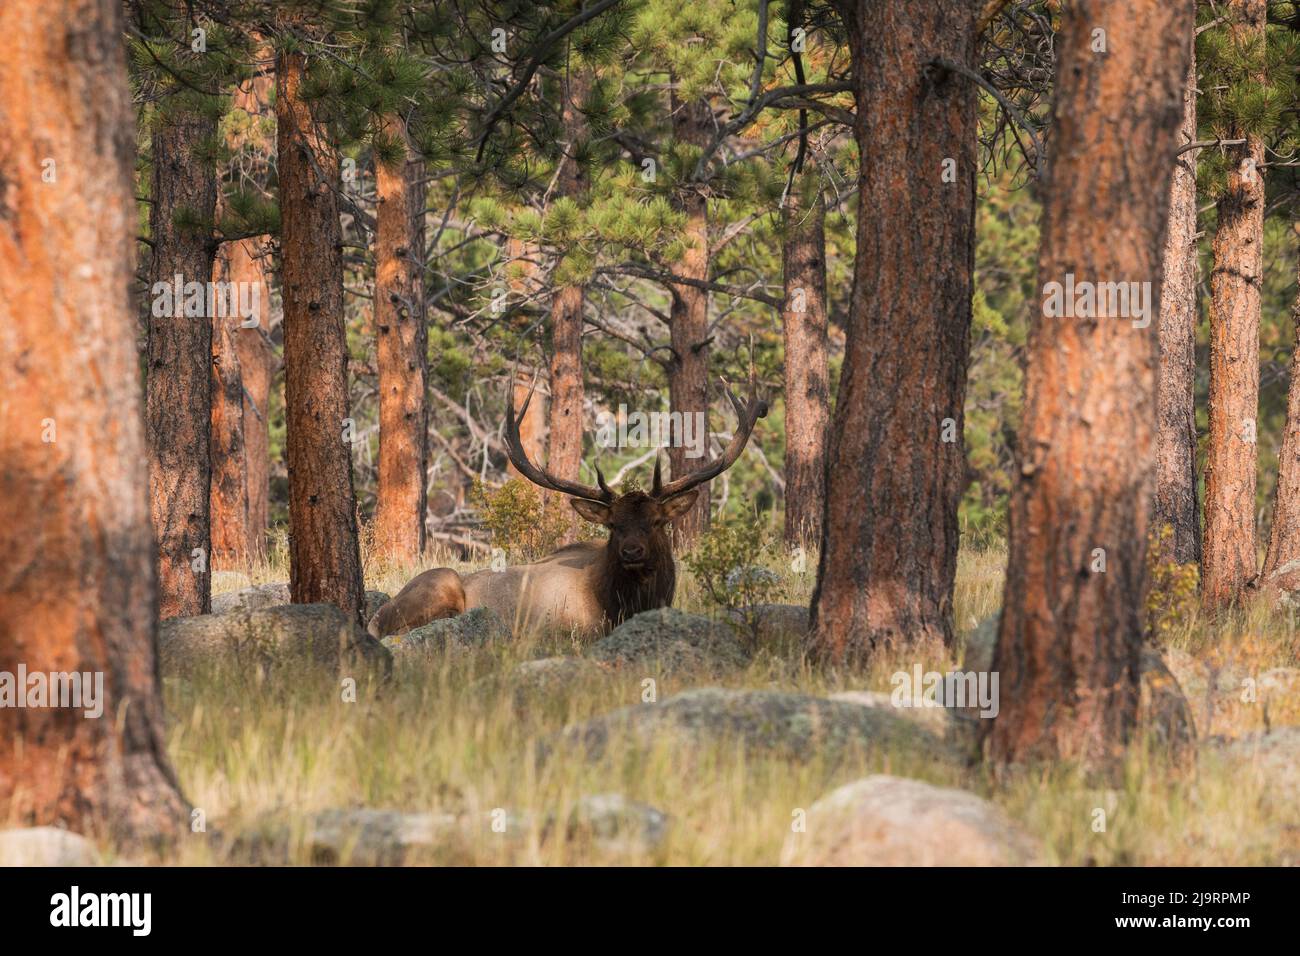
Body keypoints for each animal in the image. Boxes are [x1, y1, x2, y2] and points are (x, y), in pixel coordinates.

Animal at [369, 370, 767, 640]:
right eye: (612, 524)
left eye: (657, 520)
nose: (631, 550)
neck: (623, 603)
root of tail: (375, 615)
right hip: (441, 583)